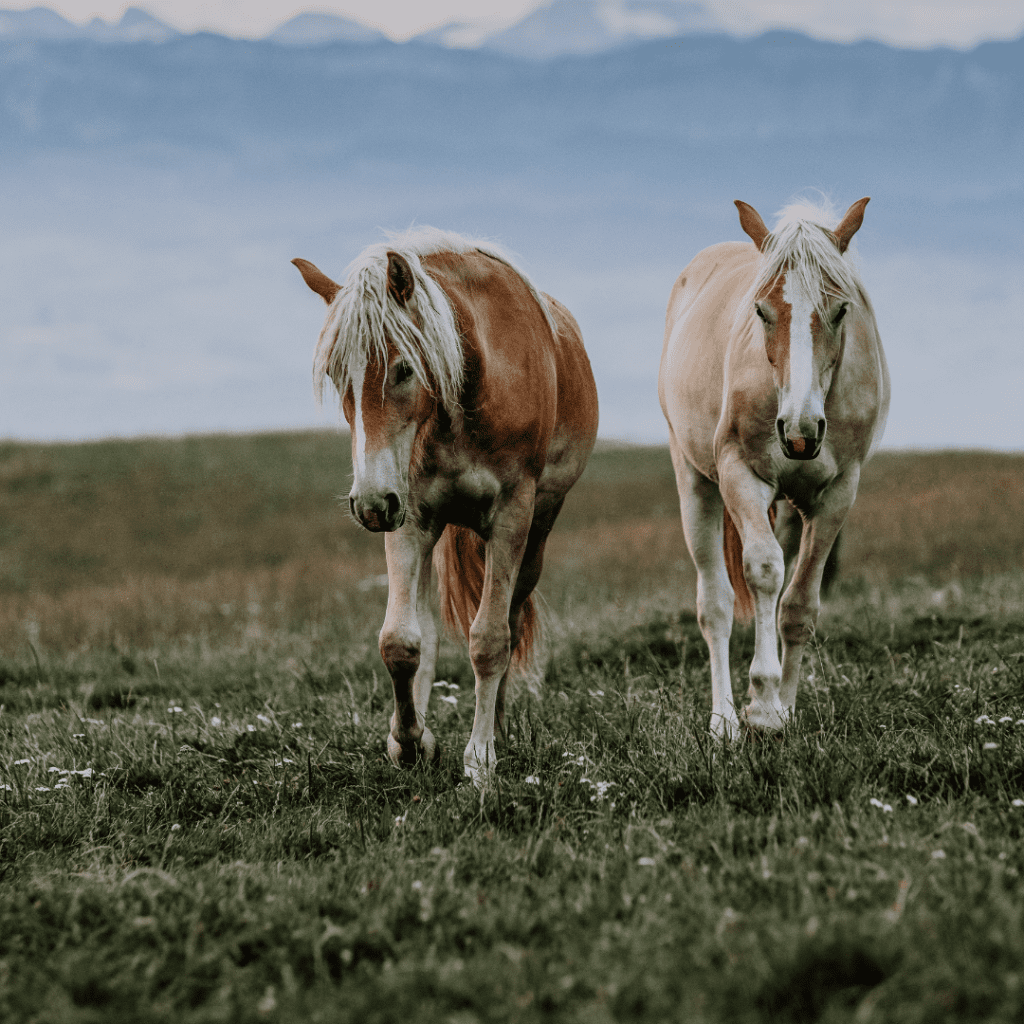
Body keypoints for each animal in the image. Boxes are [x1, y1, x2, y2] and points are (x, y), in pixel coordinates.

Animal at [293, 228, 599, 784]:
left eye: (403, 368)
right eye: (335, 374)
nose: (368, 503)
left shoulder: (511, 516)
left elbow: (490, 640)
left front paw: (480, 760)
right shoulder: (409, 517)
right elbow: (401, 642)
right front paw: (410, 743)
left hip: (537, 533)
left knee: (511, 621)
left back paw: (497, 727)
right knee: (426, 631)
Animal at [658, 197, 889, 738]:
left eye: (840, 308)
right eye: (761, 310)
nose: (800, 432)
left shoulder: (838, 494)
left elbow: (799, 604)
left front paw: (784, 707)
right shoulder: (742, 476)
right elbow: (764, 572)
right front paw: (761, 705)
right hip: (696, 484)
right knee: (716, 606)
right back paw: (723, 720)